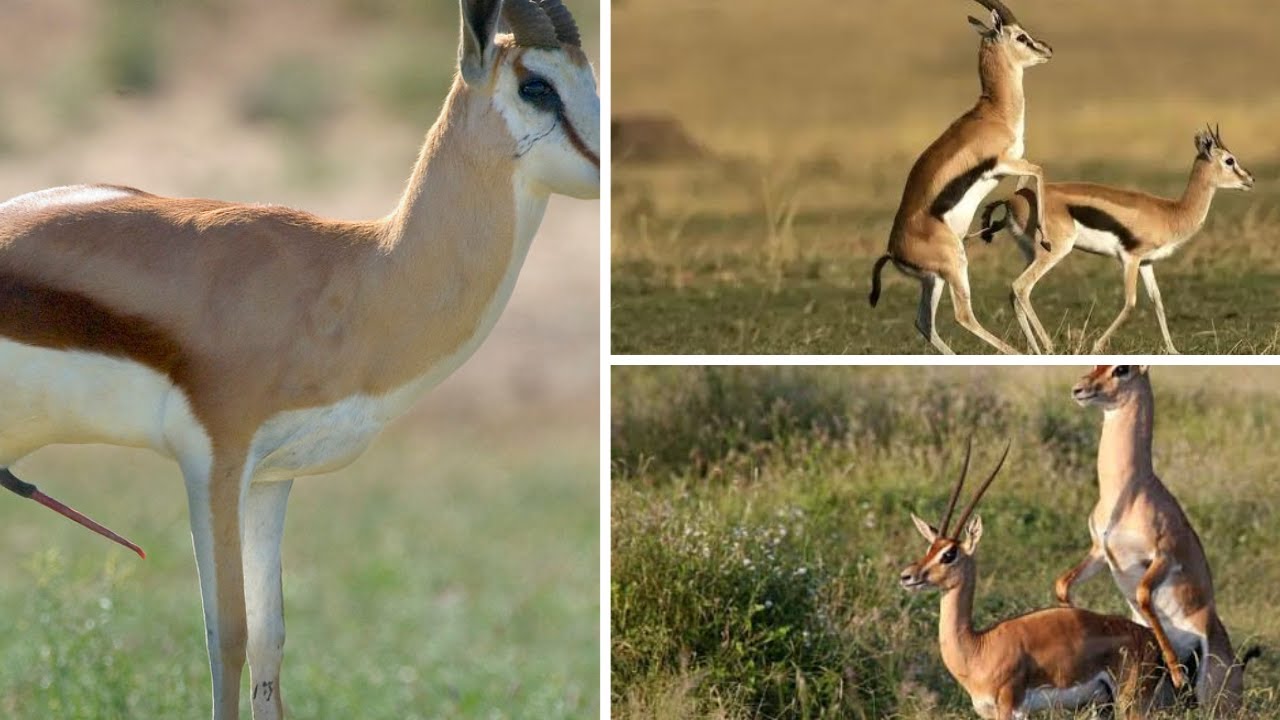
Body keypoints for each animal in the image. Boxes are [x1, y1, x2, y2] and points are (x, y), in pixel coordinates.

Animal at [0, 1, 598, 718]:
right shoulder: (214, 461)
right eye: (536, 85)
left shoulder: (271, 478)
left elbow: (269, 639)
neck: (352, 274)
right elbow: (226, 636)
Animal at [868, 0, 1052, 355]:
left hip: (935, 279)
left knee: (924, 323)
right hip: (955, 265)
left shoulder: (1011, 167)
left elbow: (1022, 188)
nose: (1047, 49)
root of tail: (894, 250)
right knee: (963, 315)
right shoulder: (1004, 163)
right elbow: (1039, 170)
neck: (994, 113)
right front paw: (1045, 237)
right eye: (1020, 37)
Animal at [901, 440, 1174, 719]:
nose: (907, 576)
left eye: (949, 554)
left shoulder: (1010, 709)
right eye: (930, 548)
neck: (978, 648)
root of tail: (1150, 638)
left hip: (1130, 703)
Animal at [975, 126, 1255, 354]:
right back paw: (1048, 346)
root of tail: (1012, 199)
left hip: (1031, 253)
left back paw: (1034, 349)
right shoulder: (1130, 259)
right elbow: (1130, 303)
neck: (1171, 213)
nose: (1250, 179)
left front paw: (1173, 350)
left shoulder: (1146, 262)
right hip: (1055, 251)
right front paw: (1096, 347)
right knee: (1022, 287)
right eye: (1229, 160)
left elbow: (1157, 300)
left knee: (1014, 292)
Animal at [1059, 365, 1258, 716]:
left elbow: (1142, 595)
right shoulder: (1101, 553)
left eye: (1122, 369)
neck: (1127, 493)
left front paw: (1177, 672)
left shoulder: (1162, 556)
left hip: (1216, 701)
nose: (1079, 389)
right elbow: (1063, 583)